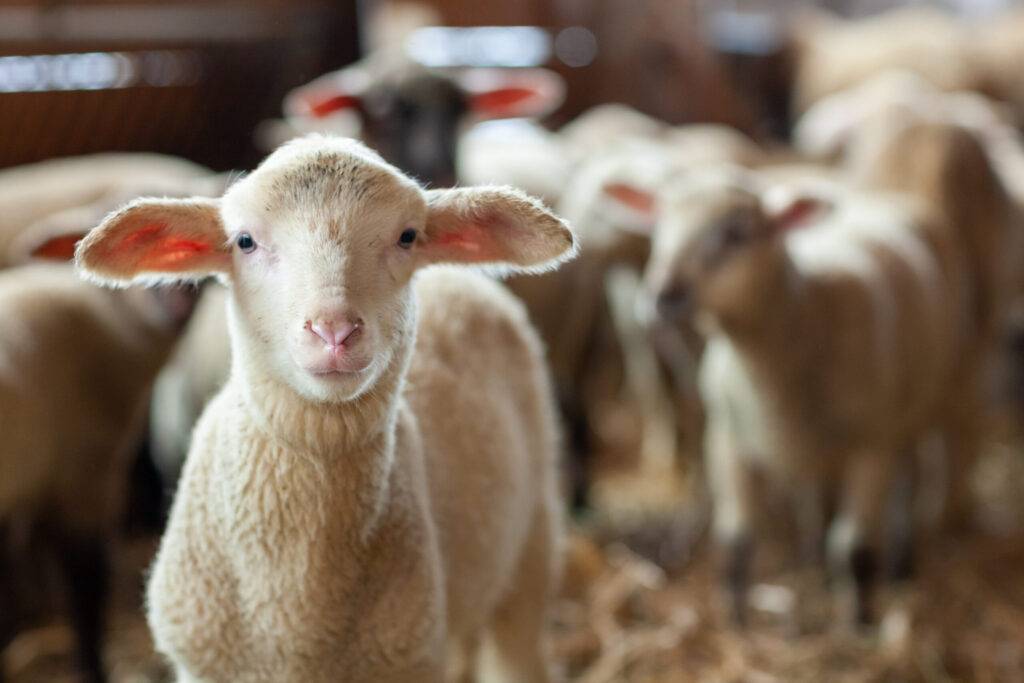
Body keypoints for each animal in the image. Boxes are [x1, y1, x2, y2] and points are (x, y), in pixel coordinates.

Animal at [610, 165, 972, 624]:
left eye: (736, 233)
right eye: (660, 224)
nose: (663, 295)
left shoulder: (870, 447)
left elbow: (851, 545)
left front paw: (858, 621)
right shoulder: (729, 438)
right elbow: (737, 537)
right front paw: (735, 619)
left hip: (922, 404)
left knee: (909, 482)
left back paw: (899, 565)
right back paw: (811, 552)